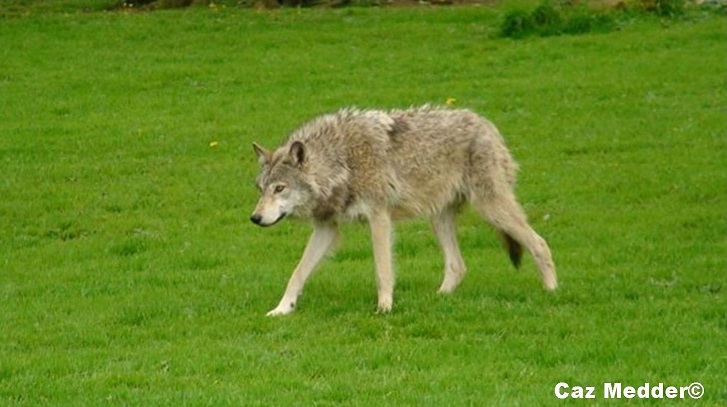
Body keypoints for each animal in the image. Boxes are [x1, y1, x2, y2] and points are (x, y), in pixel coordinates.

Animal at [250, 106, 557, 316]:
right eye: (261, 189)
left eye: (279, 188)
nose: (255, 218)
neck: (343, 162)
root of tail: (486, 123)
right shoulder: (326, 228)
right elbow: (297, 272)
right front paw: (282, 309)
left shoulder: (379, 218)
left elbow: (382, 270)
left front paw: (384, 308)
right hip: (439, 218)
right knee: (457, 265)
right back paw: (438, 298)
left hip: (491, 208)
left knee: (540, 243)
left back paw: (552, 291)